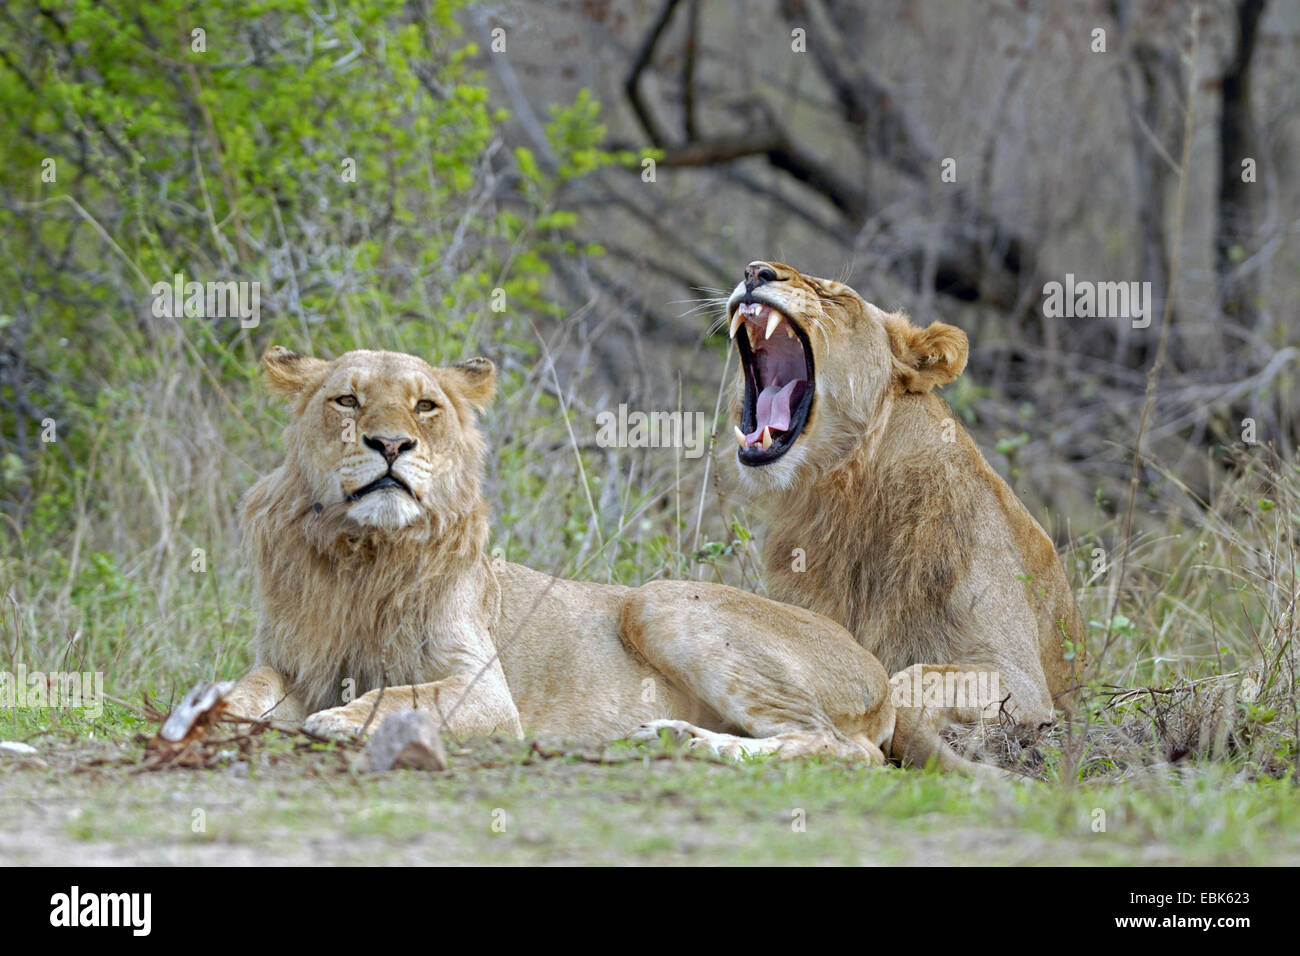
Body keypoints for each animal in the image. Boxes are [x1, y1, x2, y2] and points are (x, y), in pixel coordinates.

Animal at [214, 345, 1005, 775]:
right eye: (347, 401)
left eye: (426, 407)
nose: (389, 445)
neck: (362, 553)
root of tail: (875, 669)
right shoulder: (292, 663)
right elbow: (247, 687)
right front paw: (211, 715)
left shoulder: (485, 692)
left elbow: (398, 694)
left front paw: (338, 721)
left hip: (659, 599)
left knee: (839, 747)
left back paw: (687, 742)